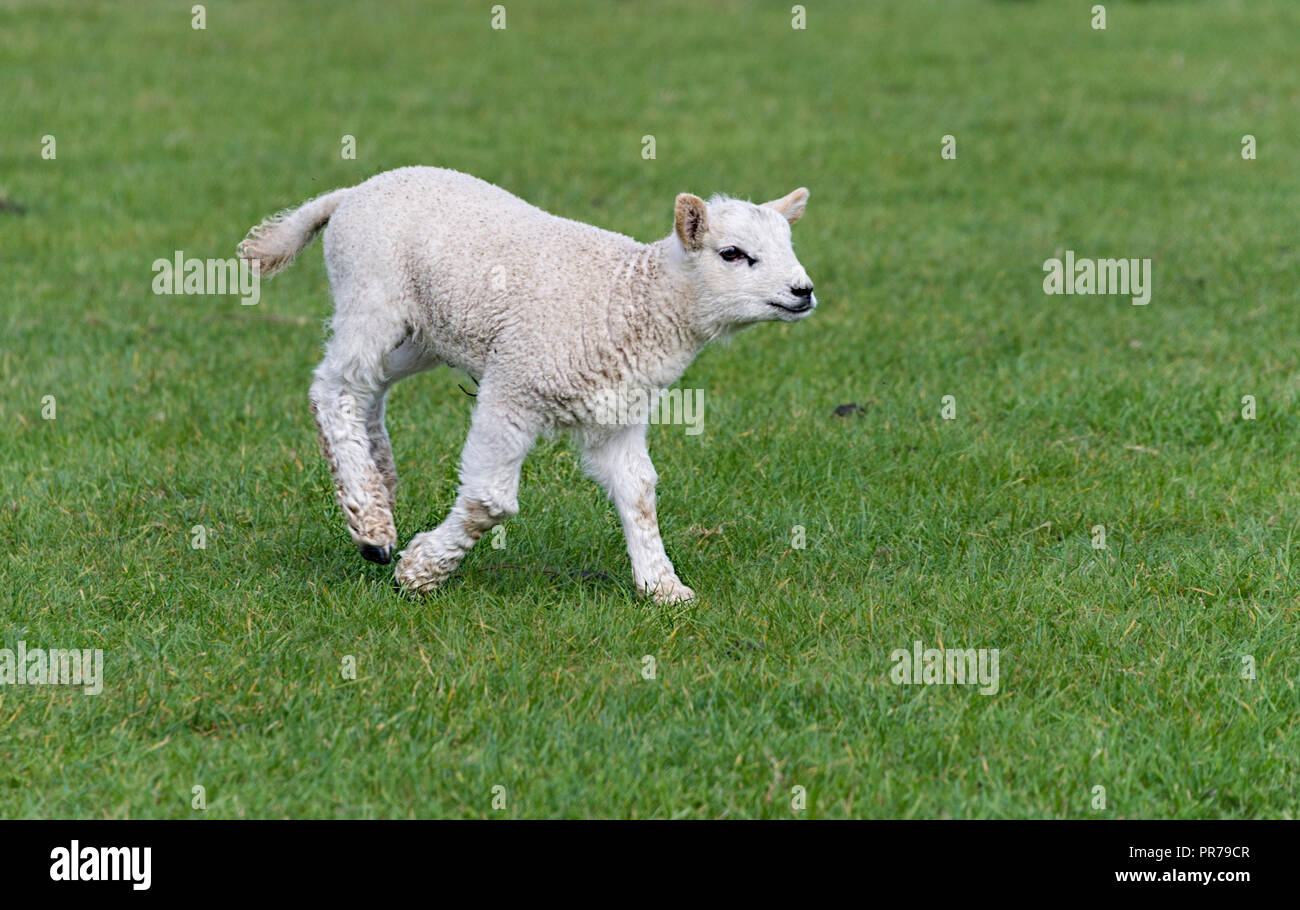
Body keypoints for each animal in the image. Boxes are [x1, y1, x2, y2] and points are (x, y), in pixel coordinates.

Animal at [238, 166, 815, 603]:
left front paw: (663, 587)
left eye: (789, 246)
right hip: (369, 293)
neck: (632, 298)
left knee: (369, 389)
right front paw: (420, 571)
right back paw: (371, 521)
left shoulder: (615, 414)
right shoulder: (513, 386)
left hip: (424, 332)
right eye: (732, 253)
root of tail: (354, 190)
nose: (803, 291)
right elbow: (490, 502)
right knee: (333, 386)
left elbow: (639, 493)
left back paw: (379, 487)